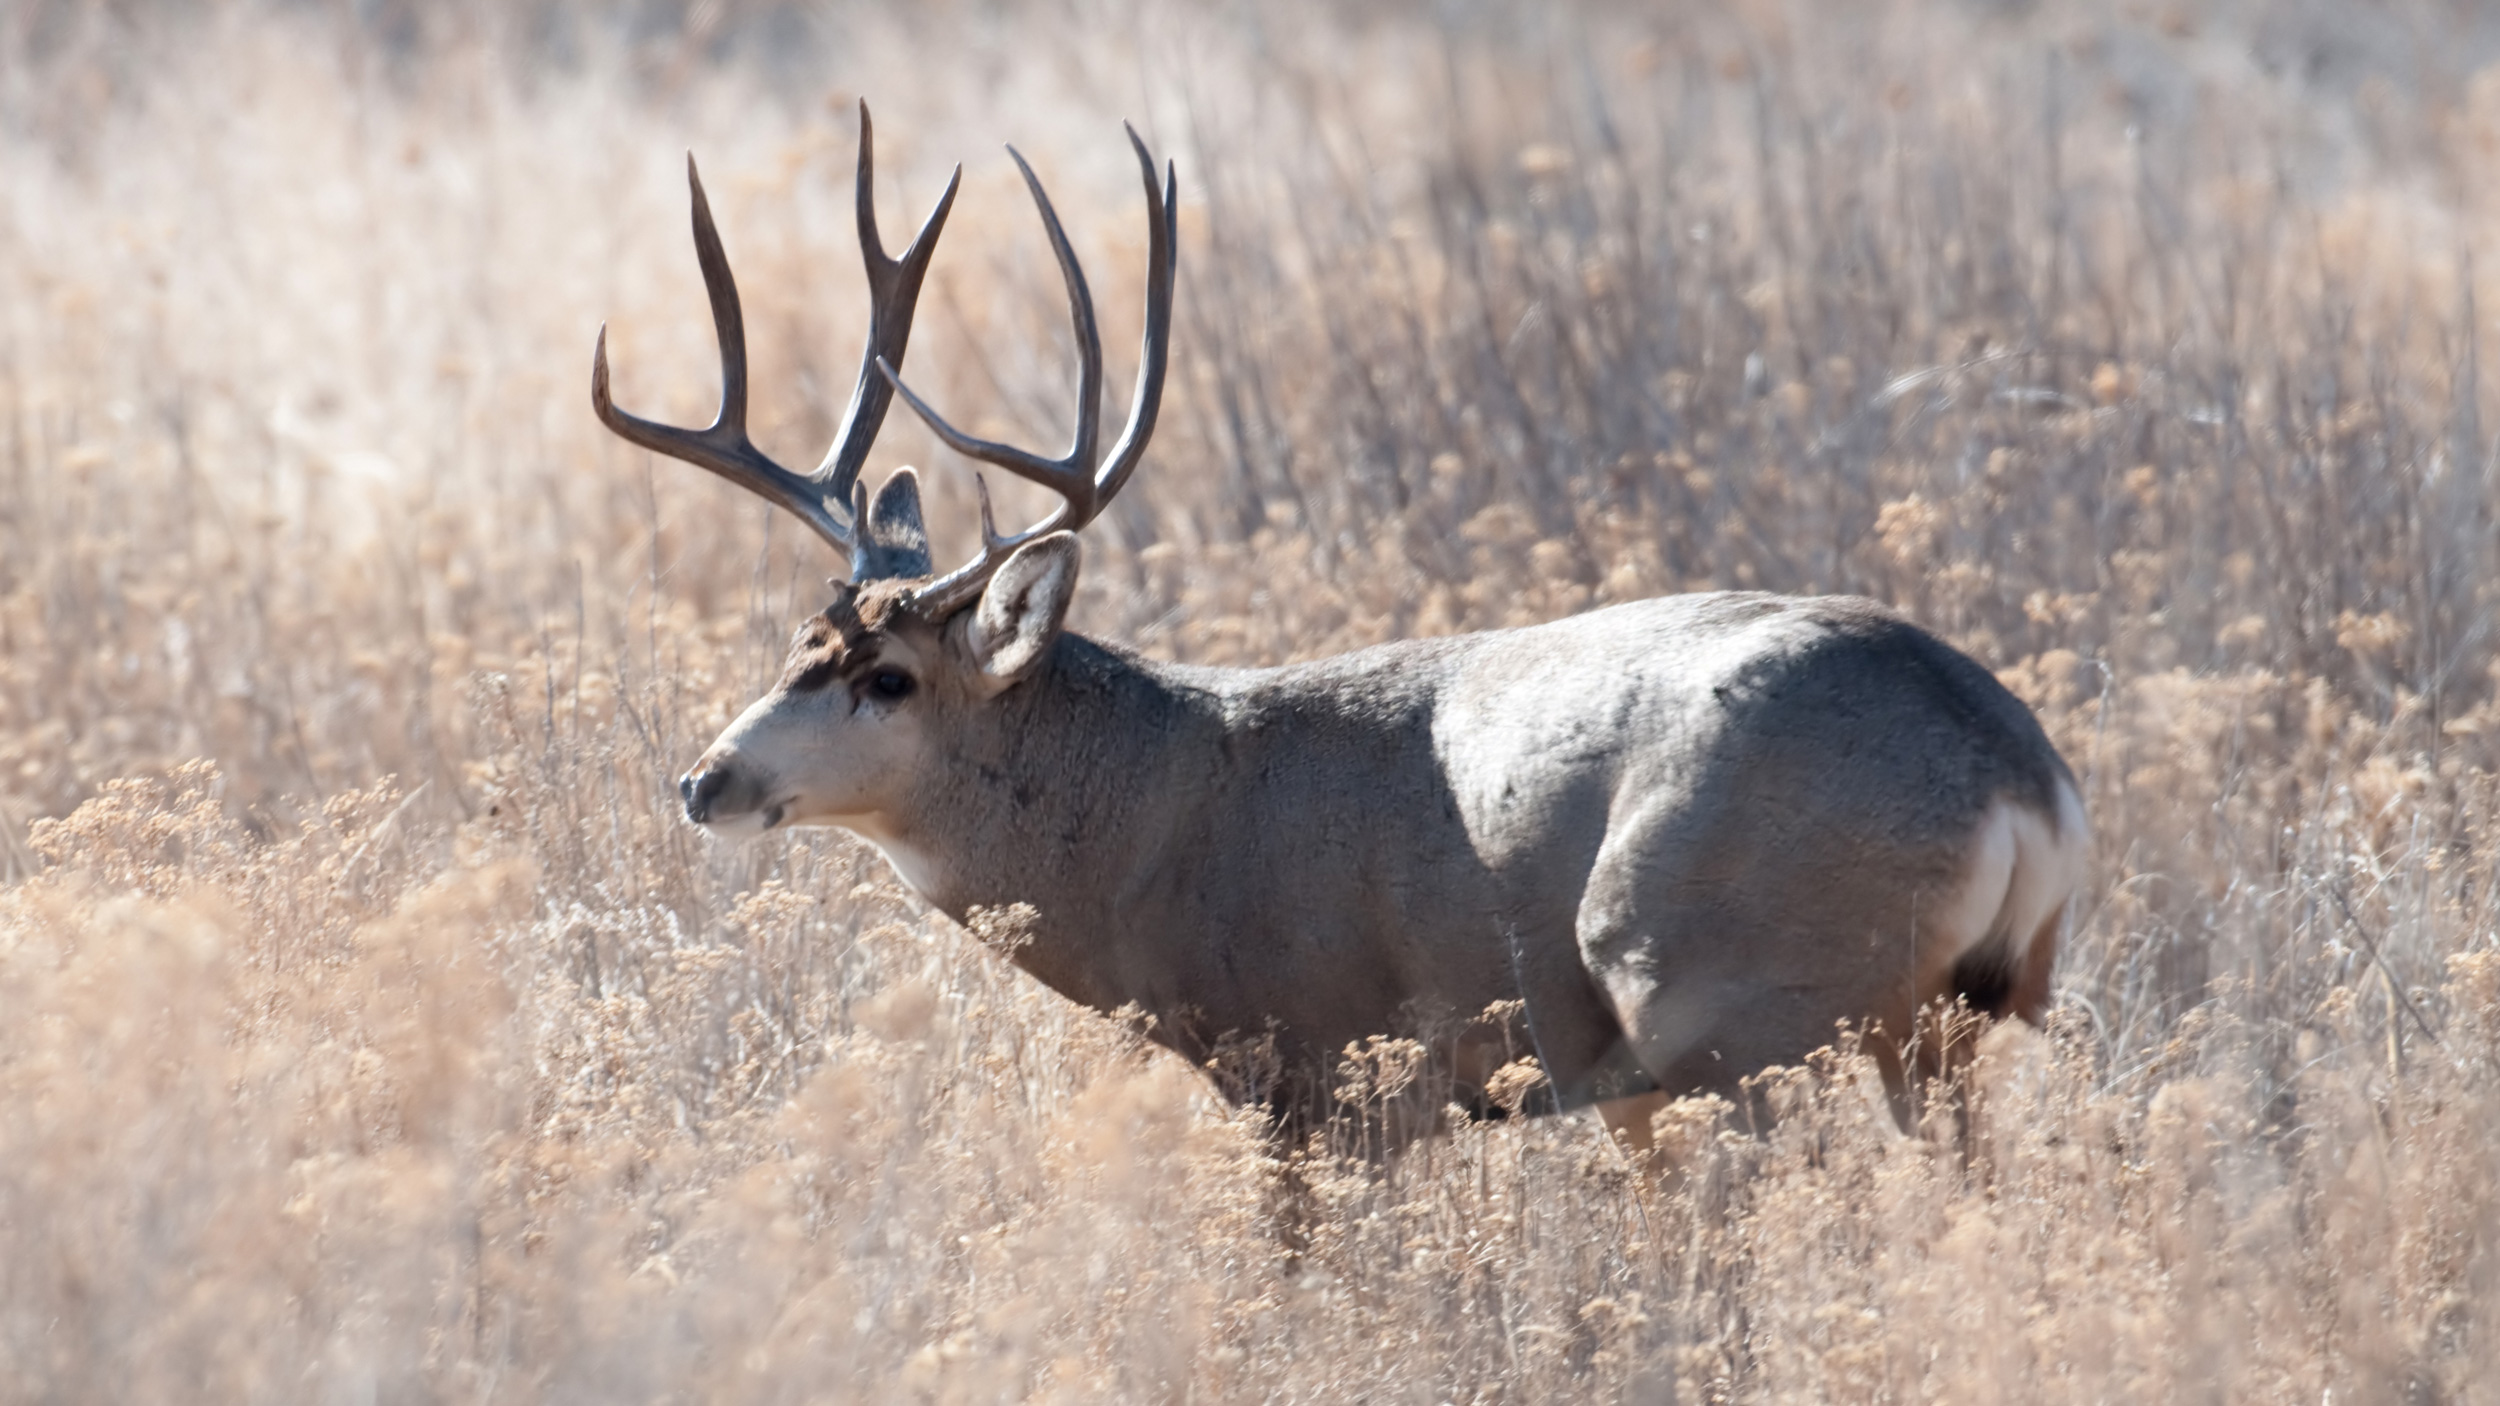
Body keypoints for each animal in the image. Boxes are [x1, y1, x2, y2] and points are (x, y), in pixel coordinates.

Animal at [591, 105, 2091, 1152]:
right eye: (799, 641)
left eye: (889, 677)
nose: (705, 779)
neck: (1156, 815)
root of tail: (2013, 767)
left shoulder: (1314, 1069)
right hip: (1936, 1027)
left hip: (1726, 996)